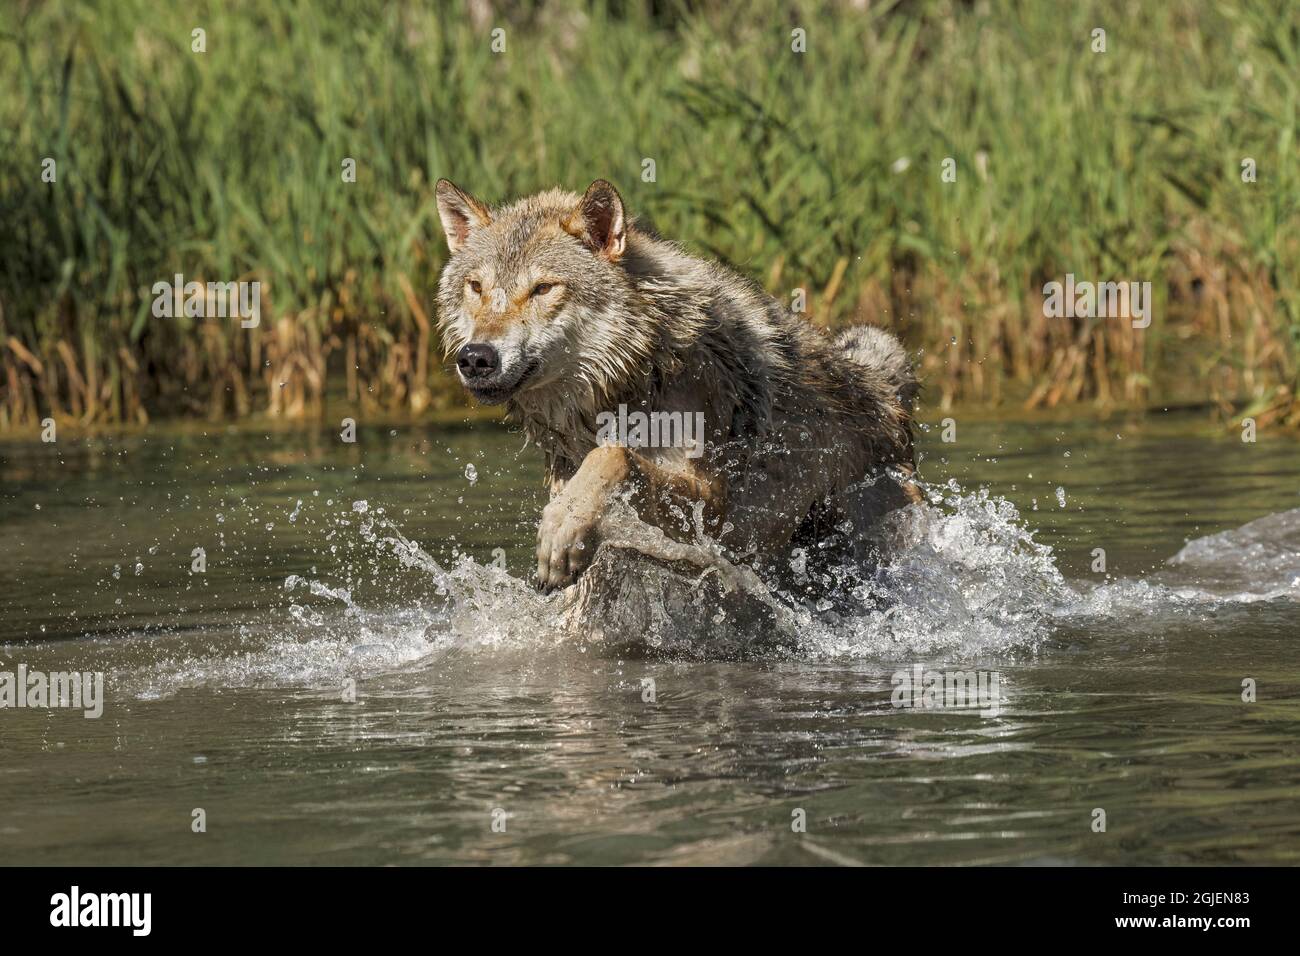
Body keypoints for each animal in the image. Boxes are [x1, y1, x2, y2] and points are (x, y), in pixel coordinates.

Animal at [435, 178, 920, 595]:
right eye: (476, 287)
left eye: (543, 288)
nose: (476, 357)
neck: (640, 373)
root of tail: (881, 387)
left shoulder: (717, 511)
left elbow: (612, 455)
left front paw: (560, 529)